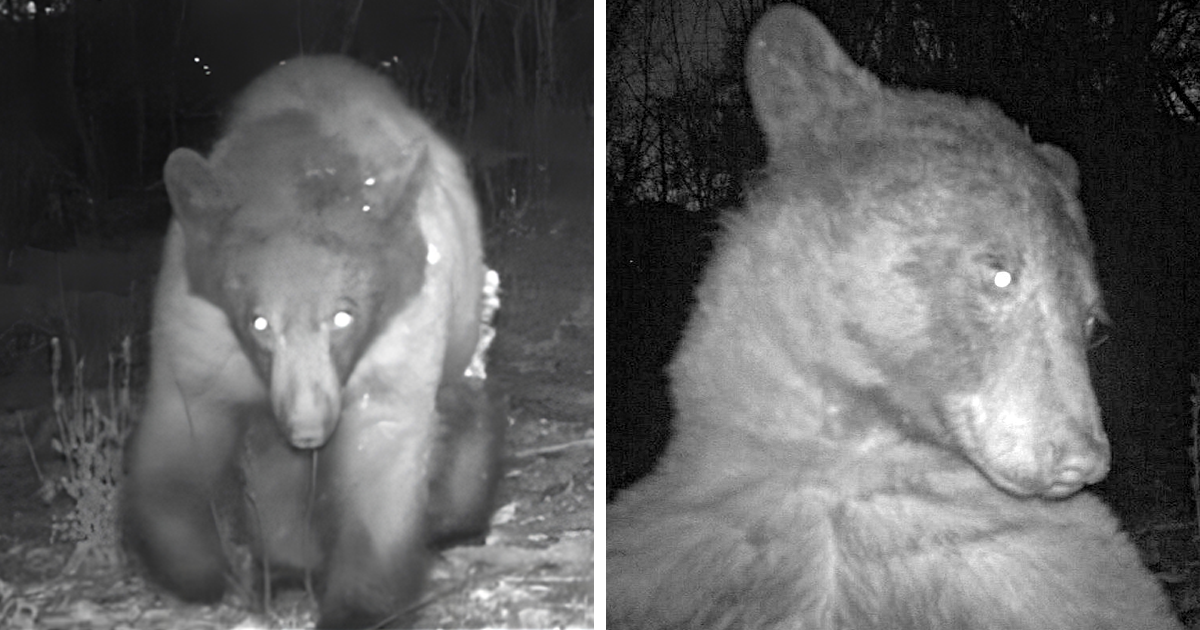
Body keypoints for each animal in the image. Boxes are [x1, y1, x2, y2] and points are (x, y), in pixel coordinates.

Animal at [122, 55, 503, 629]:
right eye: (259, 322)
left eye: (343, 315)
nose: (308, 427)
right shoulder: (198, 325)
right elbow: (179, 434)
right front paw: (201, 570)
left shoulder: (401, 328)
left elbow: (382, 454)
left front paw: (361, 605)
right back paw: (286, 568)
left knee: (461, 396)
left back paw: (457, 519)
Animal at [607, 6, 1183, 630]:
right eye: (1000, 274)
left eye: (1093, 324)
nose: (1082, 458)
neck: (856, 451)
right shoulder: (684, 546)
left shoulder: (1046, 570)